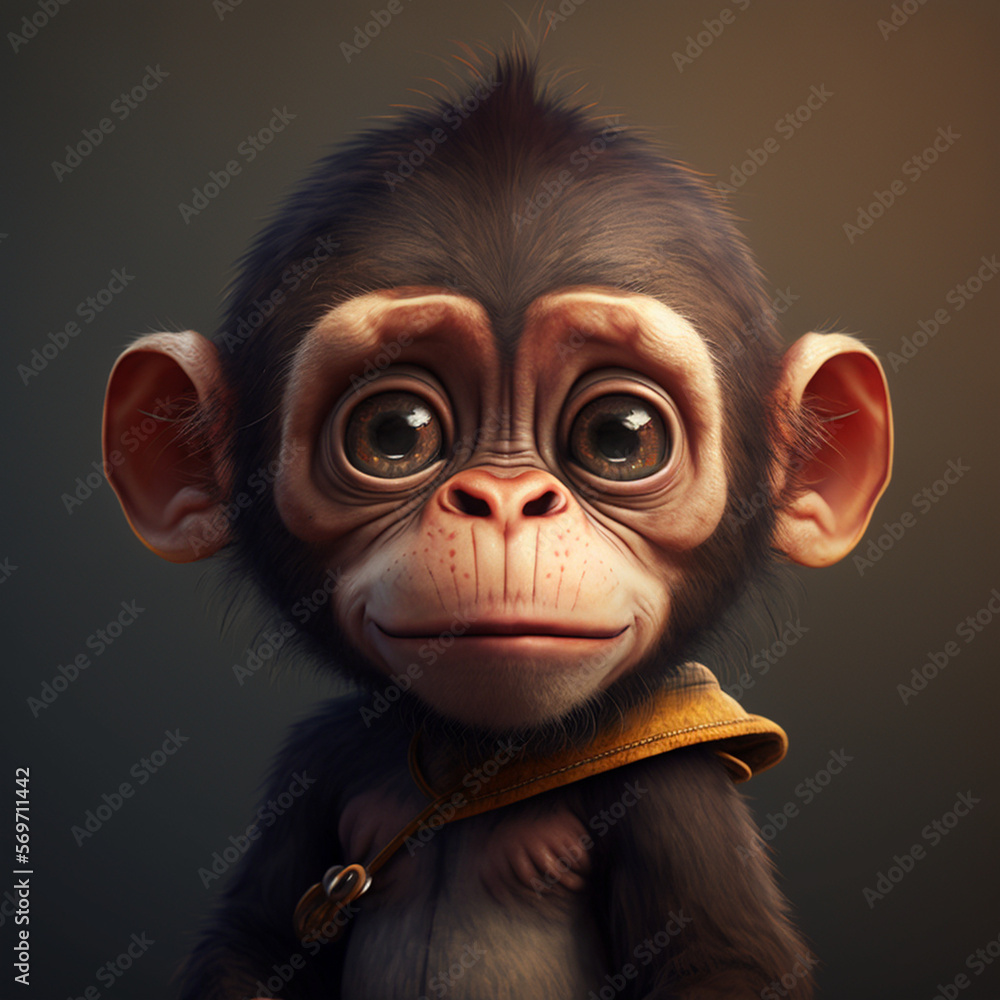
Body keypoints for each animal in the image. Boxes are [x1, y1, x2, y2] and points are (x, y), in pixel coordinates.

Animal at [102, 49, 892, 999]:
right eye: (394, 433)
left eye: (620, 437)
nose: (506, 501)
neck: (474, 765)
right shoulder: (316, 755)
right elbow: (252, 940)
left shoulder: (678, 795)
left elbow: (723, 961)